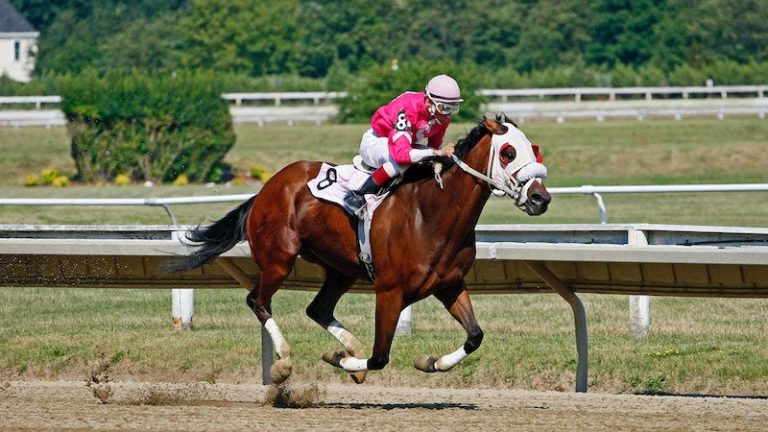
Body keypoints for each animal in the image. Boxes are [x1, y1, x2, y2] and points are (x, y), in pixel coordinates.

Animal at [169, 116, 551, 385]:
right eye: (508, 152)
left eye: (535, 148)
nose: (540, 198)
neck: (431, 213)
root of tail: (265, 189)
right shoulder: (390, 291)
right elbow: (381, 356)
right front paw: (341, 360)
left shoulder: (450, 285)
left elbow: (475, 336)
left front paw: (430, 361)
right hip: (279, 259)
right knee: (258, 301)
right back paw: (285, 363)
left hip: (341, 269)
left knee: (317, 308)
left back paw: (349, 348)